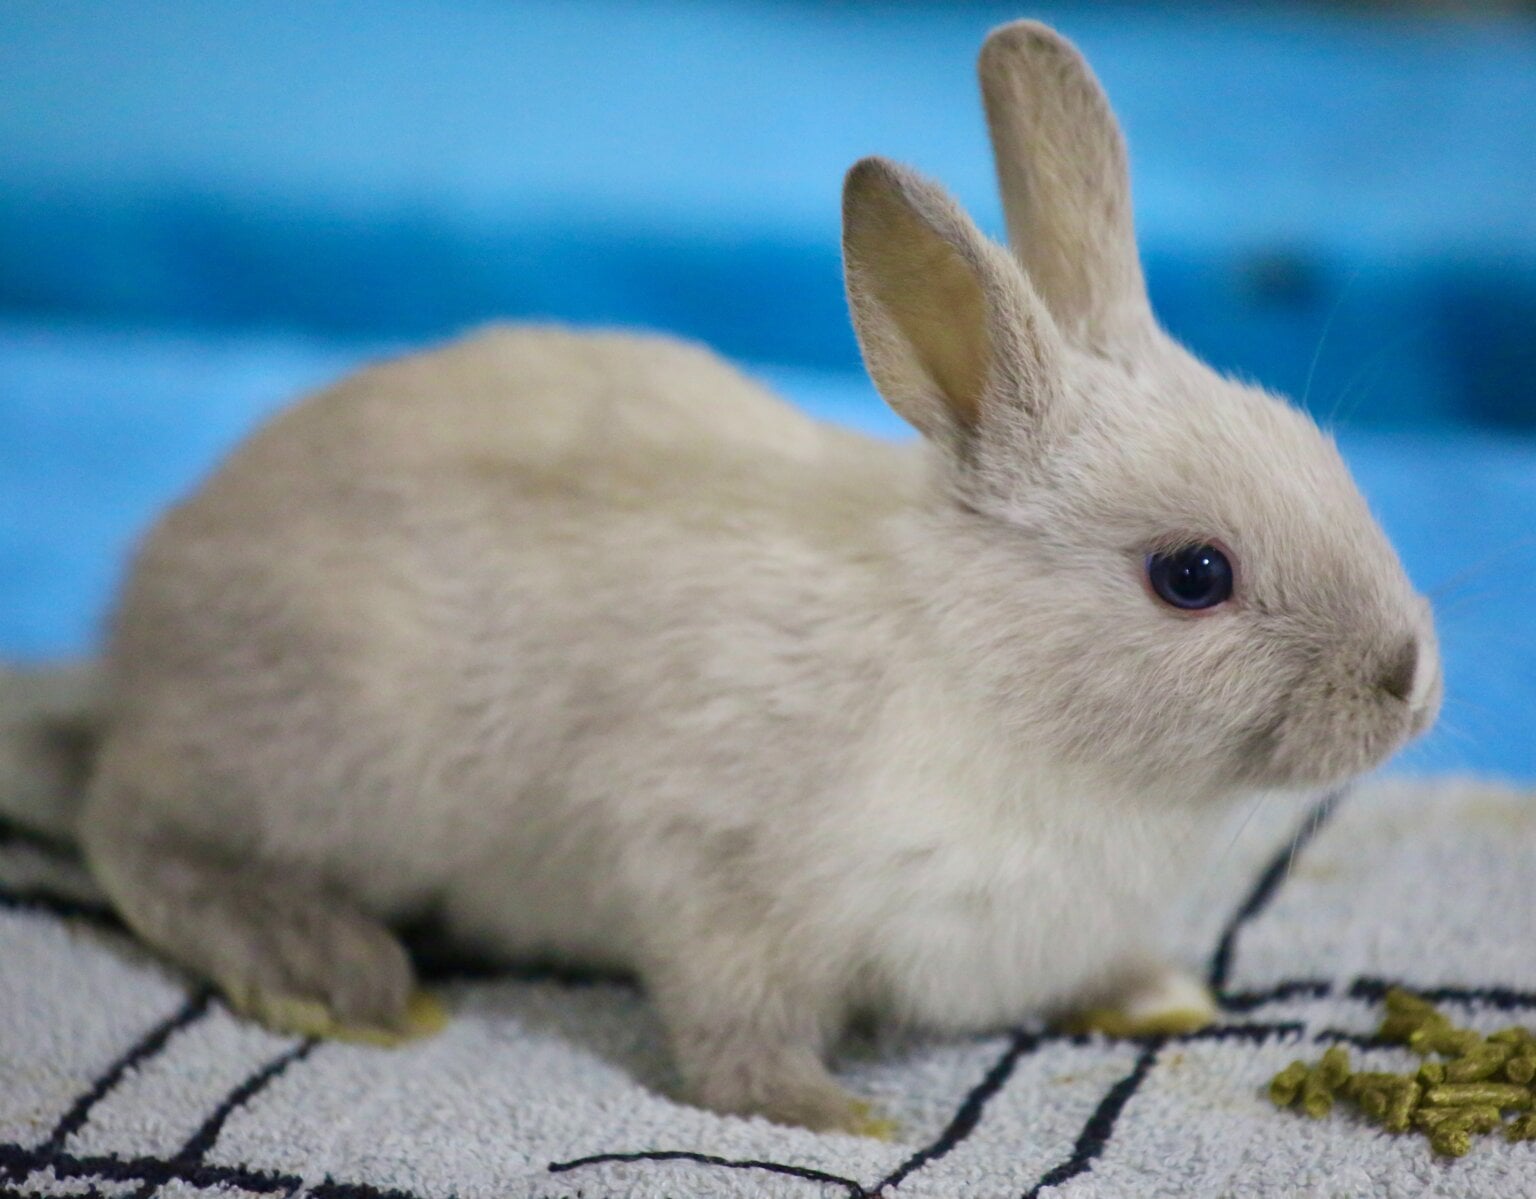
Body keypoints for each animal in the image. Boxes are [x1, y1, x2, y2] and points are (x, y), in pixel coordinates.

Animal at [13, 21, 1439, 1135]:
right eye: (1192, 574)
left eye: (1323, 451)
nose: (1410, 682)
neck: (987, 669)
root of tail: (138, 632)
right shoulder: (714, 870)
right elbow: (731, 1024)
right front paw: (831, 1114)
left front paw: (1165, 997)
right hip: (326, 753)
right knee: (132, 824)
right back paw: (333, 972)